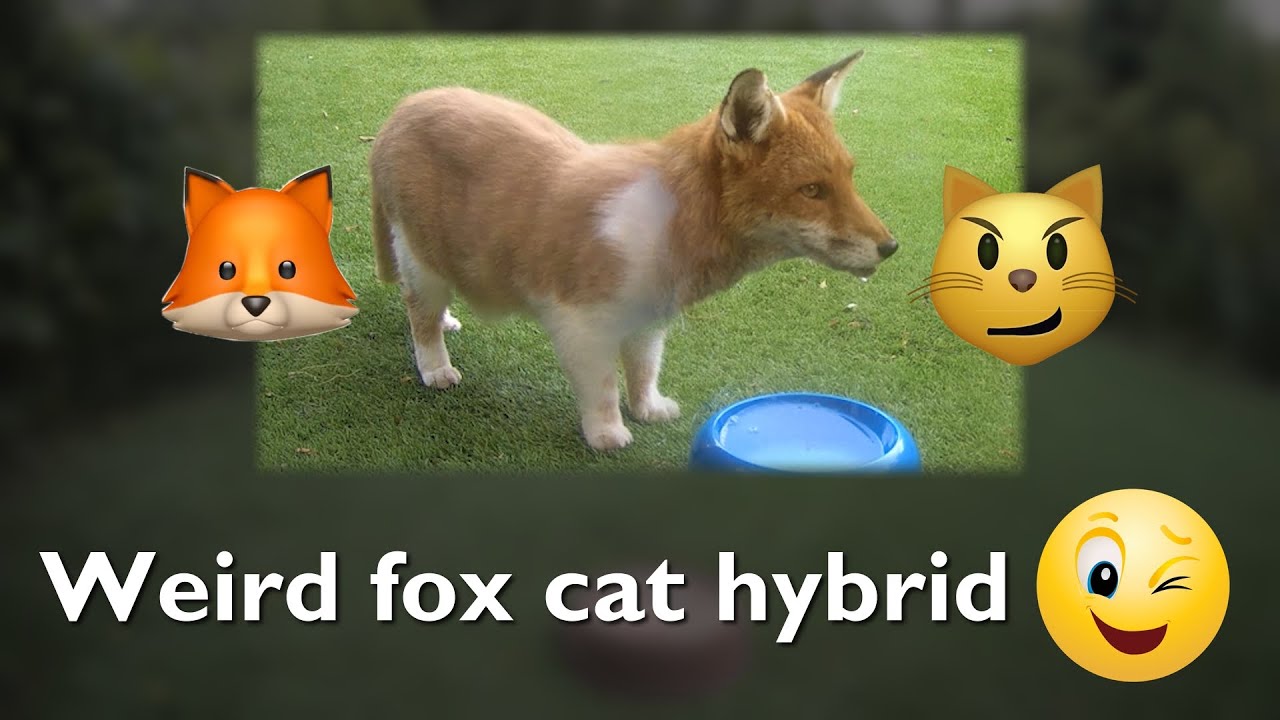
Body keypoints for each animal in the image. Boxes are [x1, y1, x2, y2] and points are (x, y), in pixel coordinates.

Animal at [369, 52, 897, 451]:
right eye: (812, 191)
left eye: (849, 178)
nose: (891, 247)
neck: (673, 225)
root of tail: (405, 107)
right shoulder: (581, 326)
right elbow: (603, 390)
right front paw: (608, 434)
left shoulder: (648, 320)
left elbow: (644, 372)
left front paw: (647, 409)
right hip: (422, 261)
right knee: (417, 315)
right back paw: (435, 367)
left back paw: (448, 322)